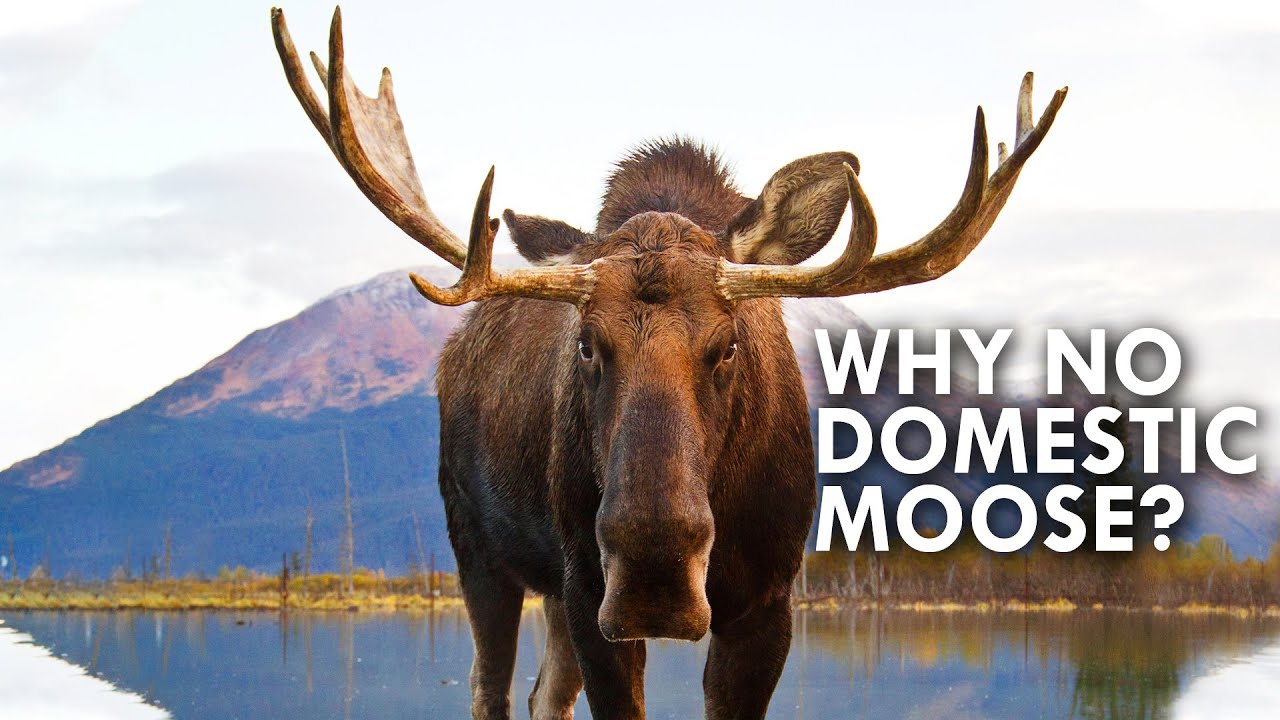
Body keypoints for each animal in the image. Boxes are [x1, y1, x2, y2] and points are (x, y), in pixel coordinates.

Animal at [270, 7, 1065, 719]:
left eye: (731, 342)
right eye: (585, 341)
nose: (654, 569)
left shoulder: (767, 601)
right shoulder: (590, 592)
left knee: (543, 695)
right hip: (482, 552)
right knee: (488, 689)